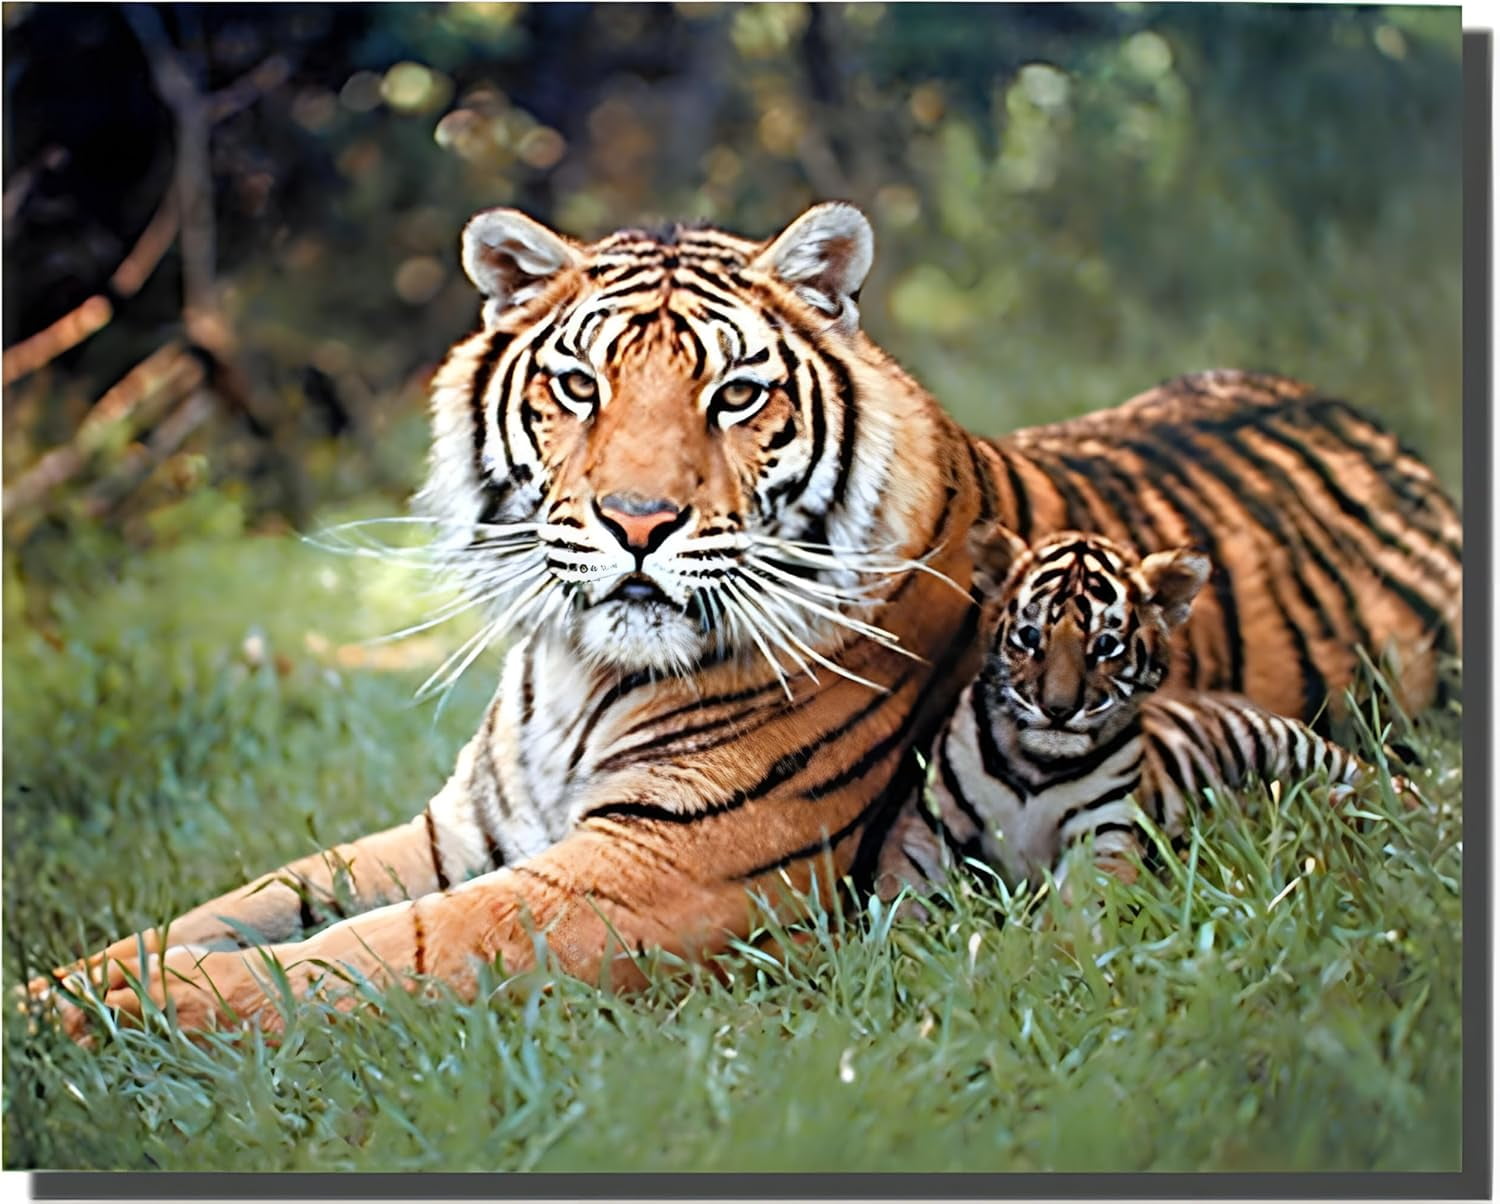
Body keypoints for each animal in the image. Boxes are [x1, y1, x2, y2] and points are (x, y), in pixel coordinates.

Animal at [876, 524, 1424, 904]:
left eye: (1105, 645)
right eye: (1030, 637)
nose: (1058, 709)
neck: (1037, 768)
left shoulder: (1102, 838)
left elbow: (1079, 911)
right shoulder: (926, 831)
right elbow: (900, 901)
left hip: (1278, 738)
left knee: (1360, 769)